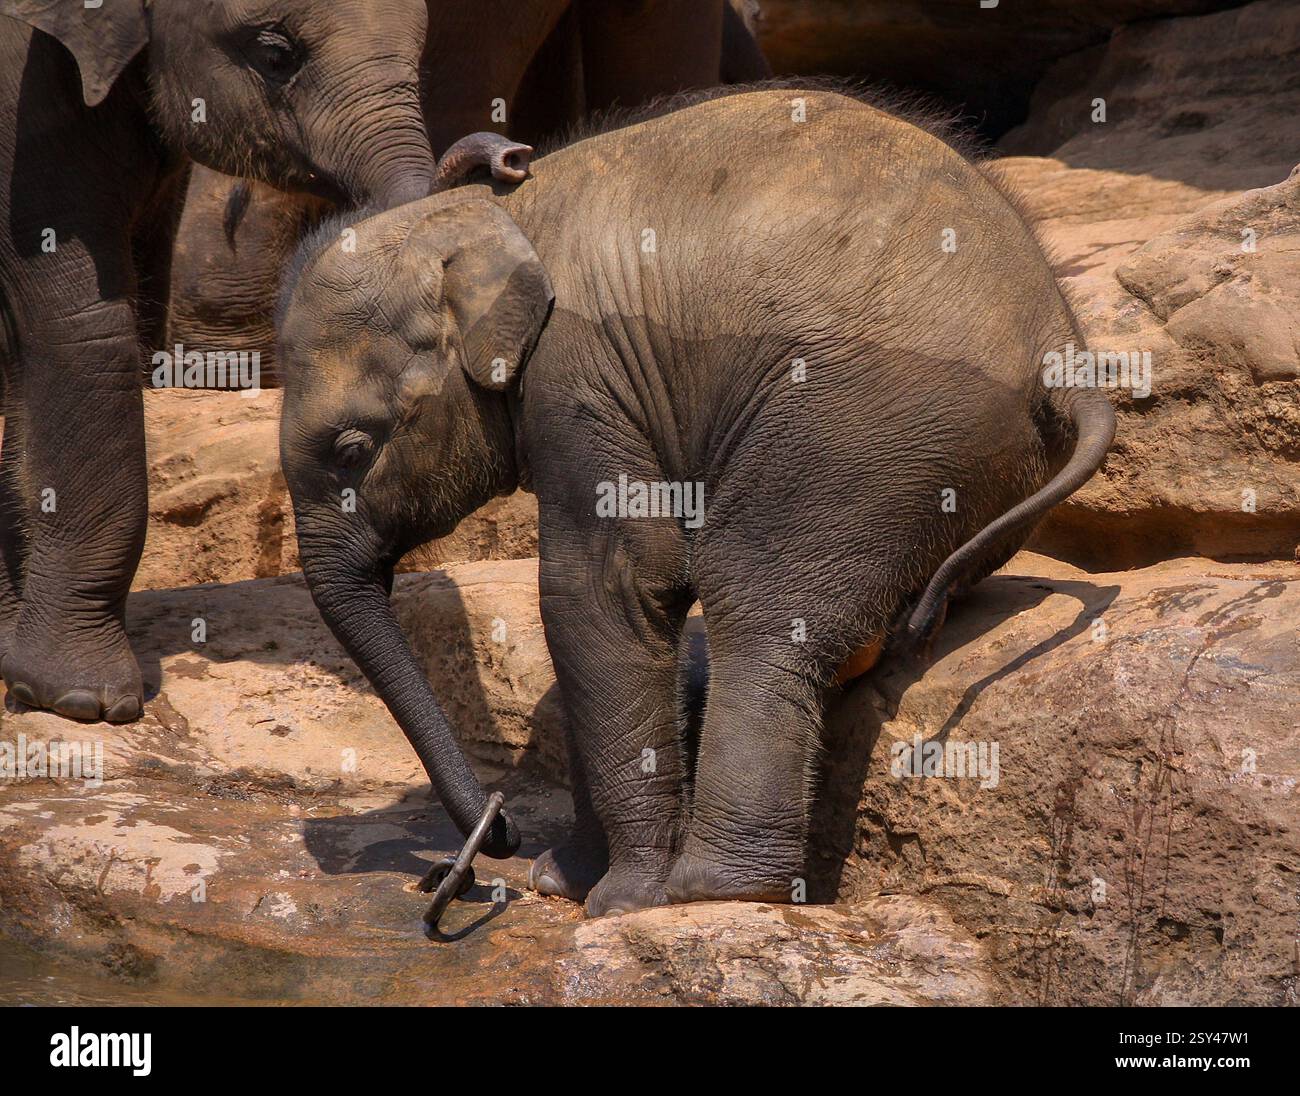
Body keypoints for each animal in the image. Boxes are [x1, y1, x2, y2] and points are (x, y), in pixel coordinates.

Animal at [274, 87, 1115, 916]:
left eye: (352, 450)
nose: (482, 849)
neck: (492, 213)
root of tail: (1063, 348)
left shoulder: (581, 374)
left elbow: (602, 587)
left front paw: (619, 901)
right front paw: (562, 881)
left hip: (862, 425)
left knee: (760, 604)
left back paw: (714, 889)